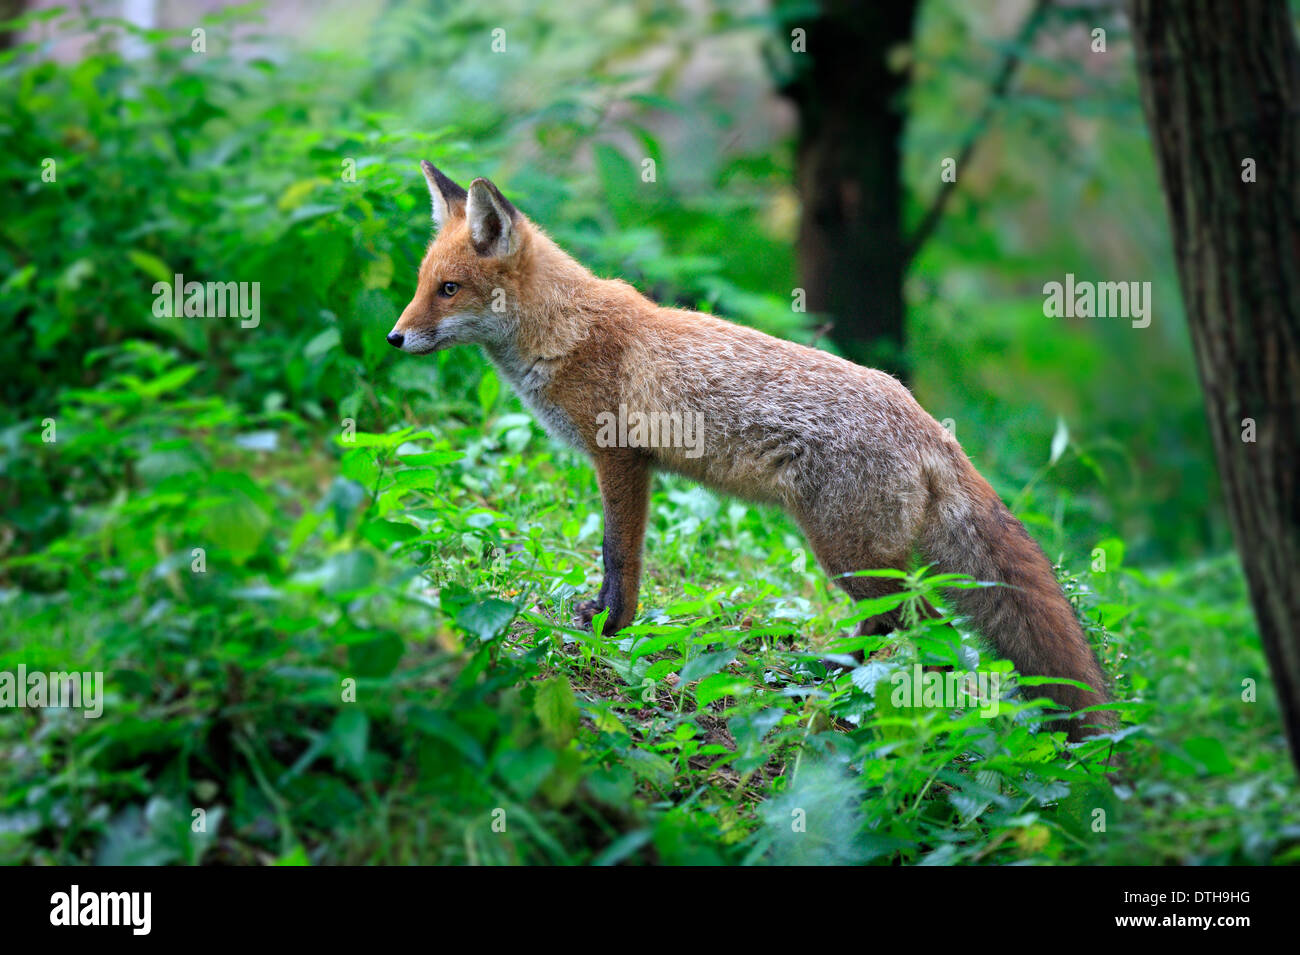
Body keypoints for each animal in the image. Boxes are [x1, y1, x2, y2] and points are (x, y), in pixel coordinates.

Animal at [388, 161, 1115, 741]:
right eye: (421, 284)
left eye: (449, 290)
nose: (394, 338)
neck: (566, 331)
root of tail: (926, 422)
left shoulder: (621, 458)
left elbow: (619, 554)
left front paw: (610, 627)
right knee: (906, 623)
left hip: (846, 551)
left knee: (920, 622)